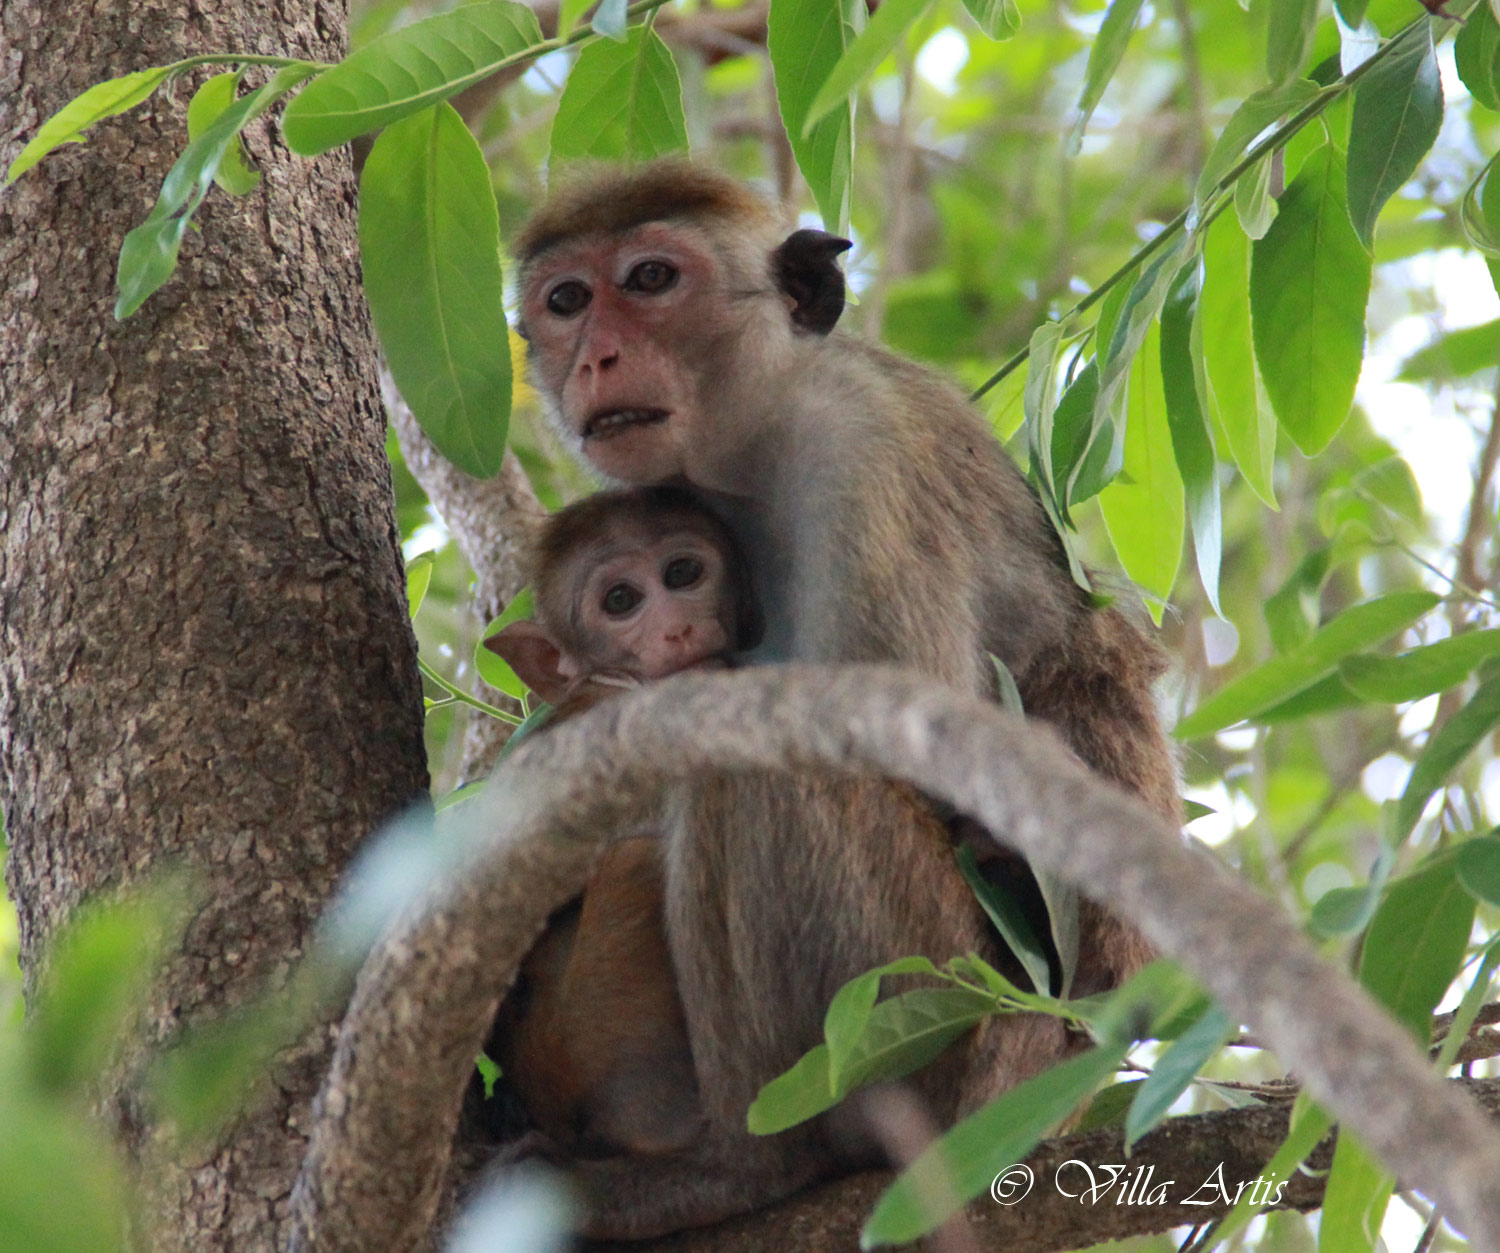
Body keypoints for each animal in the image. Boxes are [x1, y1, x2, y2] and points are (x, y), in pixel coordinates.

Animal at [497, 160, 1181, 1238]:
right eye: (567, 300)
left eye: (651, 278)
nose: (597, 354)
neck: (754, 434)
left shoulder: (855, 447)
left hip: (927, 1011)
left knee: (745, 759)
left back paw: (734, 1168)